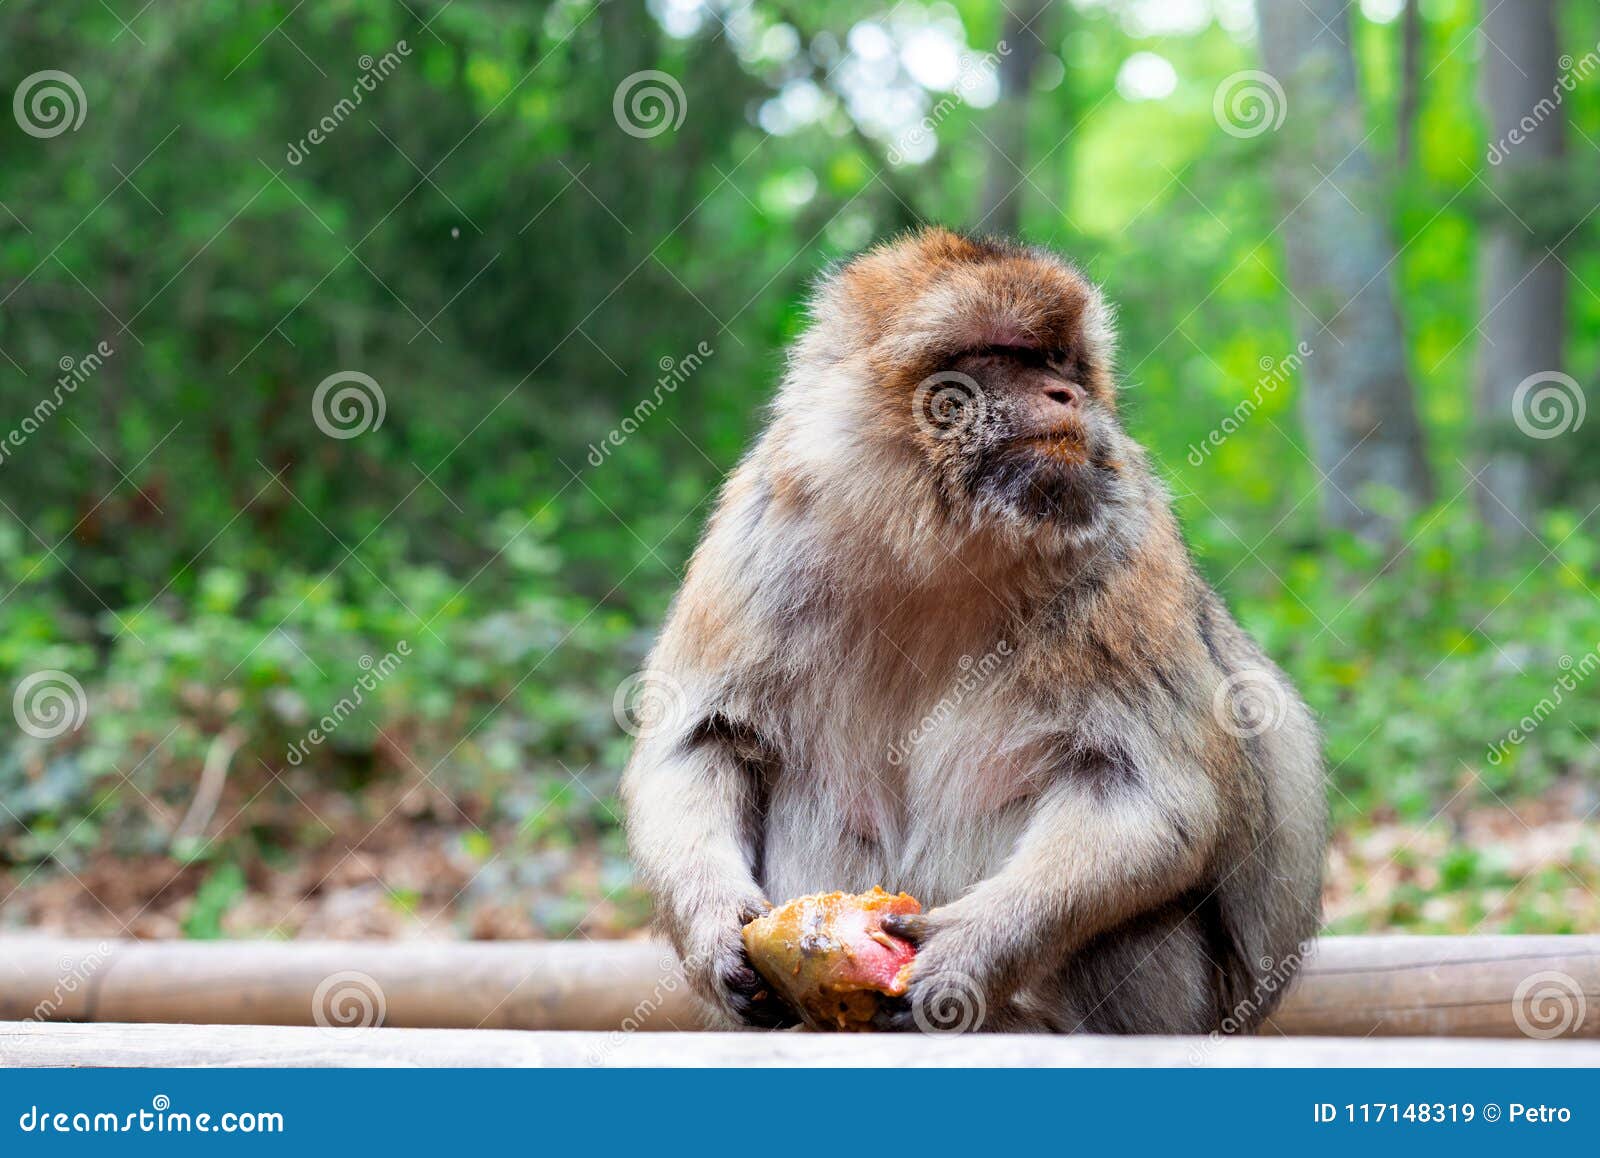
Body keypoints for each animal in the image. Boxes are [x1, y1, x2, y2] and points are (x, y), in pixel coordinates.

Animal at [621, 227, 1326, 1034]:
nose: (1067, 394)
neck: (940, 538)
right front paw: (716, 934)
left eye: (1061, 362)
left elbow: (1149, 791)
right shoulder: (761, 526)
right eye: (1006, 354)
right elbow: (701, 741)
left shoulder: (1127, 547)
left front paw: (967, 953)